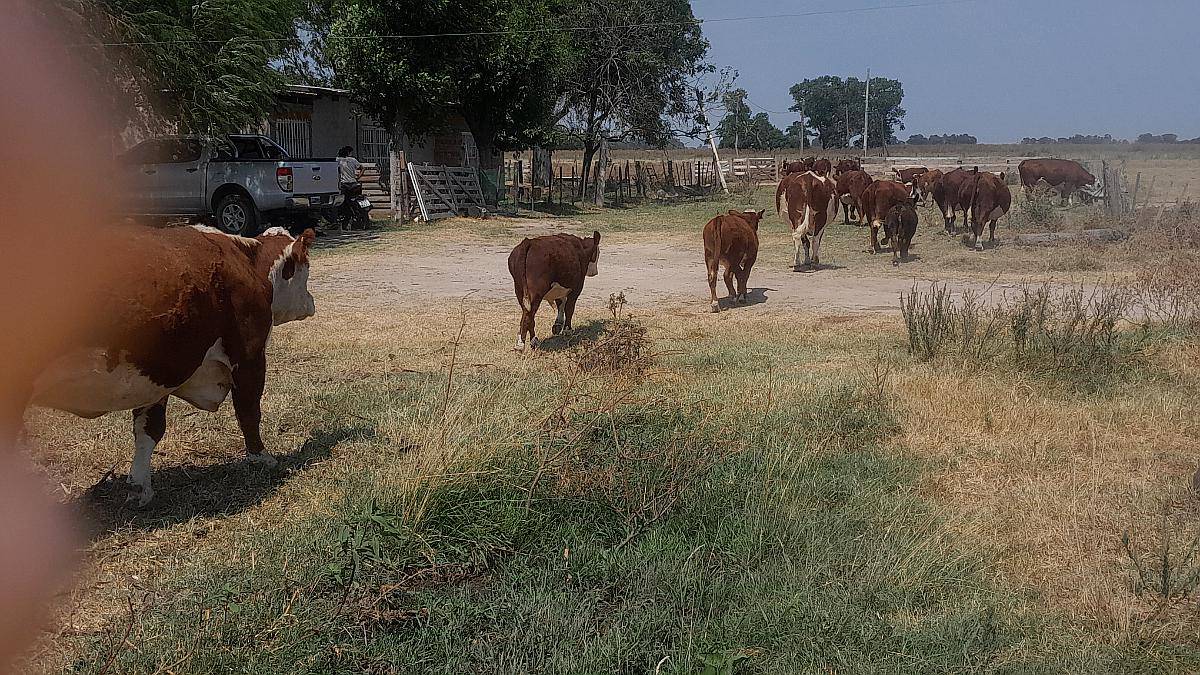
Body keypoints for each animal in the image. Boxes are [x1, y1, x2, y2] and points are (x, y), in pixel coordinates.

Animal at [21, 225, 318, 506]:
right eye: (306, 265)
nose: (312, 302)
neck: (246, 261)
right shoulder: (249, 356)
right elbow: (249, 412)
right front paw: (261, 458)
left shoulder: (160, 370)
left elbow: (148, 429)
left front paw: (139, 487)